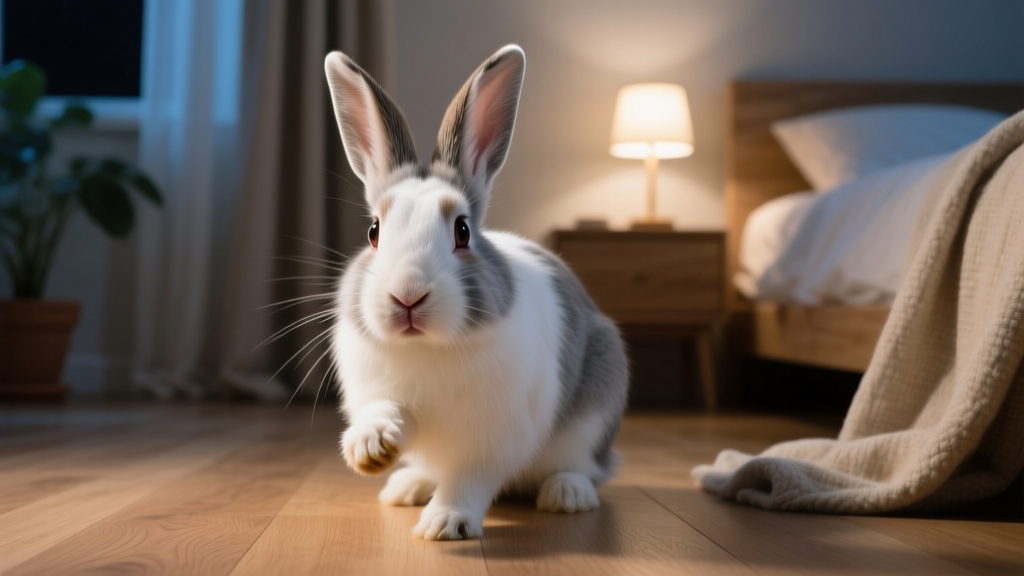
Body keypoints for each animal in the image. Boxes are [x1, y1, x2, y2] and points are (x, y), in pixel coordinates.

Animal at [325, 44, 629, 541]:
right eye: (373, 231)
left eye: (462, 231)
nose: (408, 297)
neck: (427, 348)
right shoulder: (387, 396)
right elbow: (387, 415)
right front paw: (370, 448)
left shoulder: (490, 440)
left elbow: (468, 479)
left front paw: (446, 523)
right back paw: (405, 486)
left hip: (595, 409)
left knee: (584, 465)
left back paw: (566, 495)